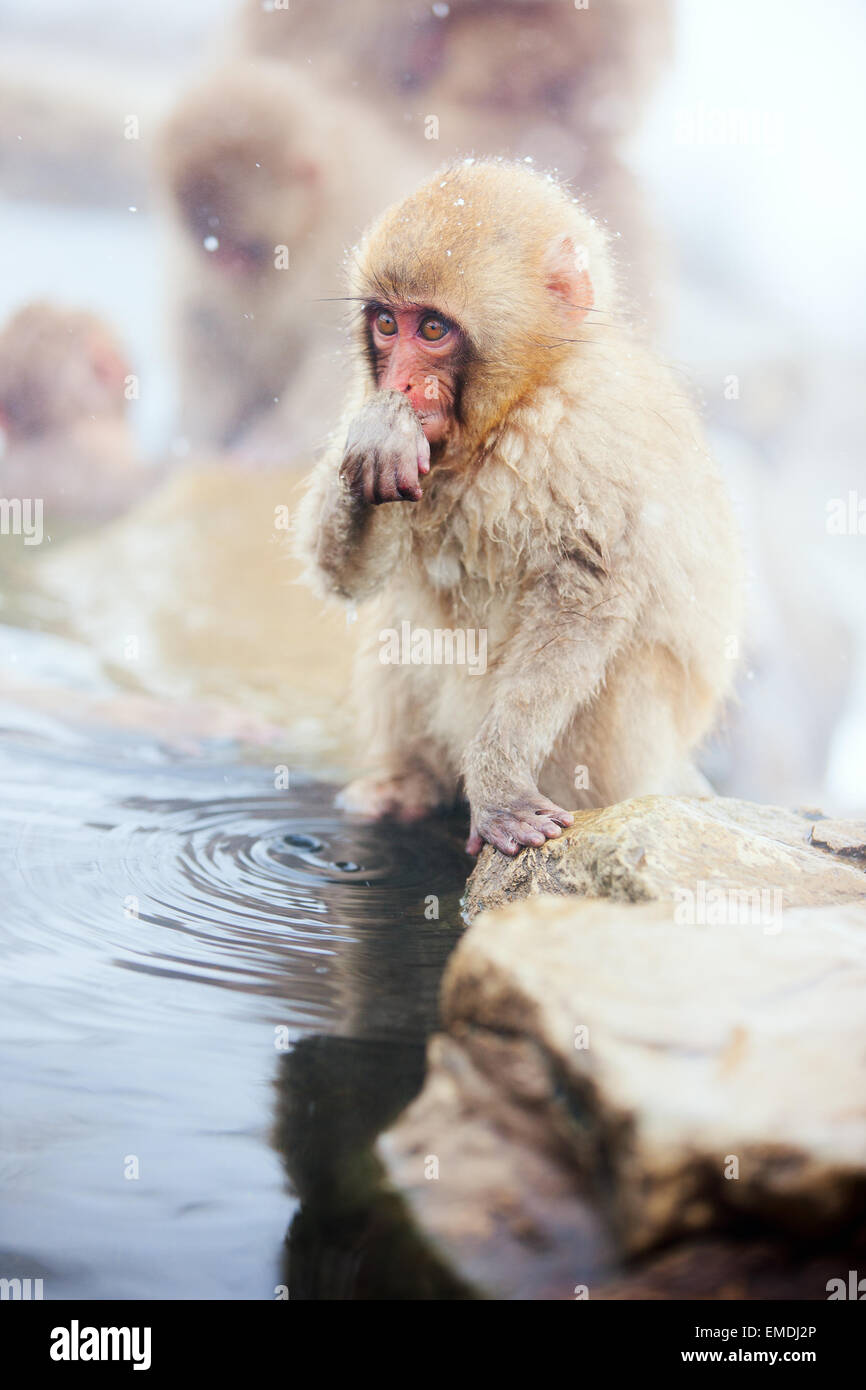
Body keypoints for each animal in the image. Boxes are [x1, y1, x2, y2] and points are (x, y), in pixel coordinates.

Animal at [155, 60, 425, 458]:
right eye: (212, 247)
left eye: (240, 251)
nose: (222, 265)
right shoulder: (192, 268)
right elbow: (204, 327)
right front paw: (195, 436)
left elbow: (337, 347)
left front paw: (274, 440)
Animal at [295, 160, 743, 856]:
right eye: (386, 325)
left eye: (432, 329)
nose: (398, 385)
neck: (511, 411)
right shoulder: (359, 407)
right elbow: (345, 577)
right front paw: (381, 435)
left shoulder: (588, 436)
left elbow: (583, 601)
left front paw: (500, 783)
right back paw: (407, 786)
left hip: (625, 759)